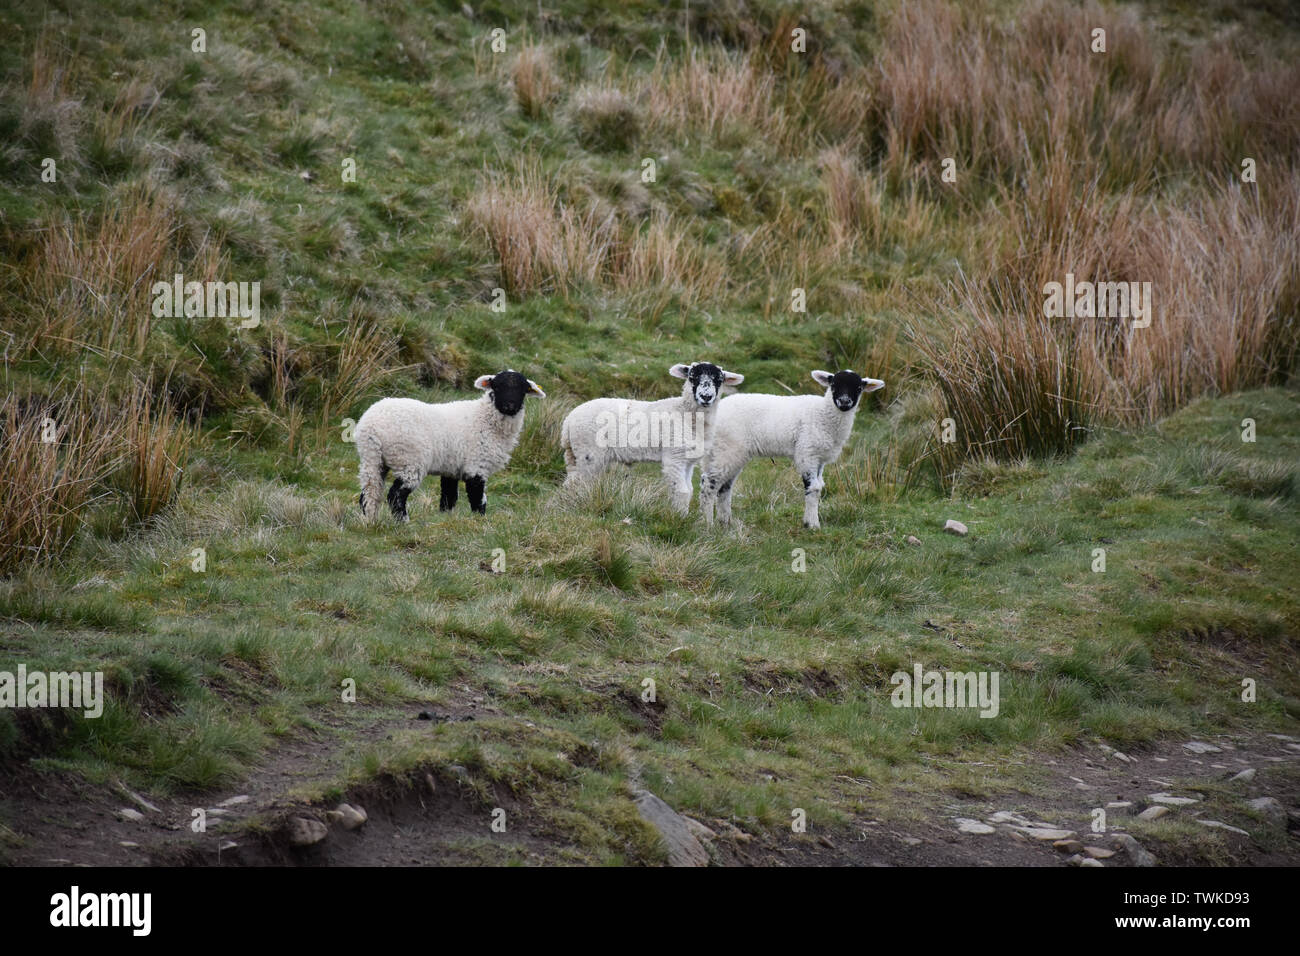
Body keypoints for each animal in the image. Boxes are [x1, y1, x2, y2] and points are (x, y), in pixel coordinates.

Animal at [355, 369, 545, 521]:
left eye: (522, 389)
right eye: (497, 387)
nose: (510, 405)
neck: (485, 419)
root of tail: (370, 427)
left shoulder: (451, 468)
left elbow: (448, 498)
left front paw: (446, 520)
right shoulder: (477, 465)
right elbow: (478, 499)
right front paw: (479, 522)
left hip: (373, 460)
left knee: (369, 493)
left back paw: (369, 521)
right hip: (409, 459)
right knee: (395, 495)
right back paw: (403, 522)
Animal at [560, 362, 744, 513]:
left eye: (719, 380)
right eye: (692, 377)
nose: (706, 397)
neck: (685, 413)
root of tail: (568, 421)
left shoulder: (687, 461)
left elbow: (690, 490)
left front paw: (681, 516)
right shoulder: (674, 457)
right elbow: (682, 491)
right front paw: (678, 520)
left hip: (574, 455)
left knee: (569, 482)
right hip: (589, 453)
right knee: (579, 482)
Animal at [700, 369, 885, 529]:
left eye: (859, 388)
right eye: (833, 385)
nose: (844, 402)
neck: (823, 414)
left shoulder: (819, 458)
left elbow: (819, 486)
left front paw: (808, 521)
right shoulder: (807, 451)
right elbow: (814, 488)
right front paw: (812, 525)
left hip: (725, 451)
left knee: (724, 487)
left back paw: (725, 522)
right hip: (728, 448)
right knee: (709, 484)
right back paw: (708, 525)